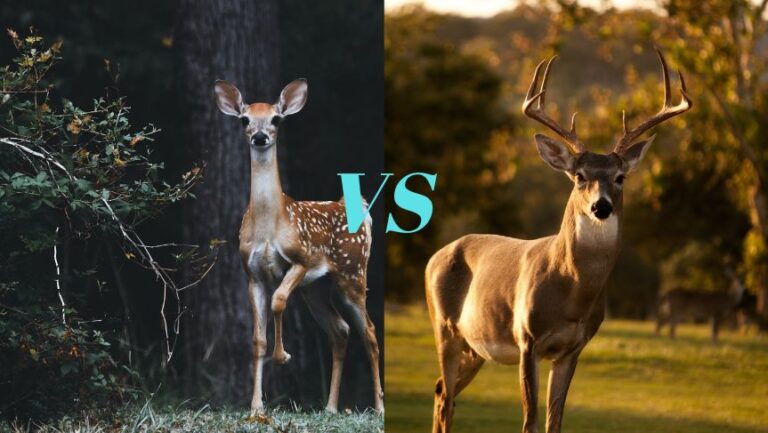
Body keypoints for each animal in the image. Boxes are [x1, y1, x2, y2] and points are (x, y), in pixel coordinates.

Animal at [214, 79, 383, 416]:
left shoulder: (300, 260)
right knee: (340, 330)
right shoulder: (251, 274)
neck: (269, 225)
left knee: (369, 332)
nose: (260, 137)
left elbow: (279, 301)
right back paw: (330, 407)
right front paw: (256, 407)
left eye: (277, 119)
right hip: (316, 288)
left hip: (353, 273)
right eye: (244, 120)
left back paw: (379, 408)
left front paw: (283, 356)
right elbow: (257, 339)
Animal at [425, 48, 691, 433]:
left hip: (475, 347)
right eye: (579, 175)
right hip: (444, 328)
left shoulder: (572, 349)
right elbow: (530, 422)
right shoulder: (527, 339)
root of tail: (435, 256)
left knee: (440, 392)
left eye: (620, 177)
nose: (600, 206)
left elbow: (555, 422)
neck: (571, 292)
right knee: (445, 397)